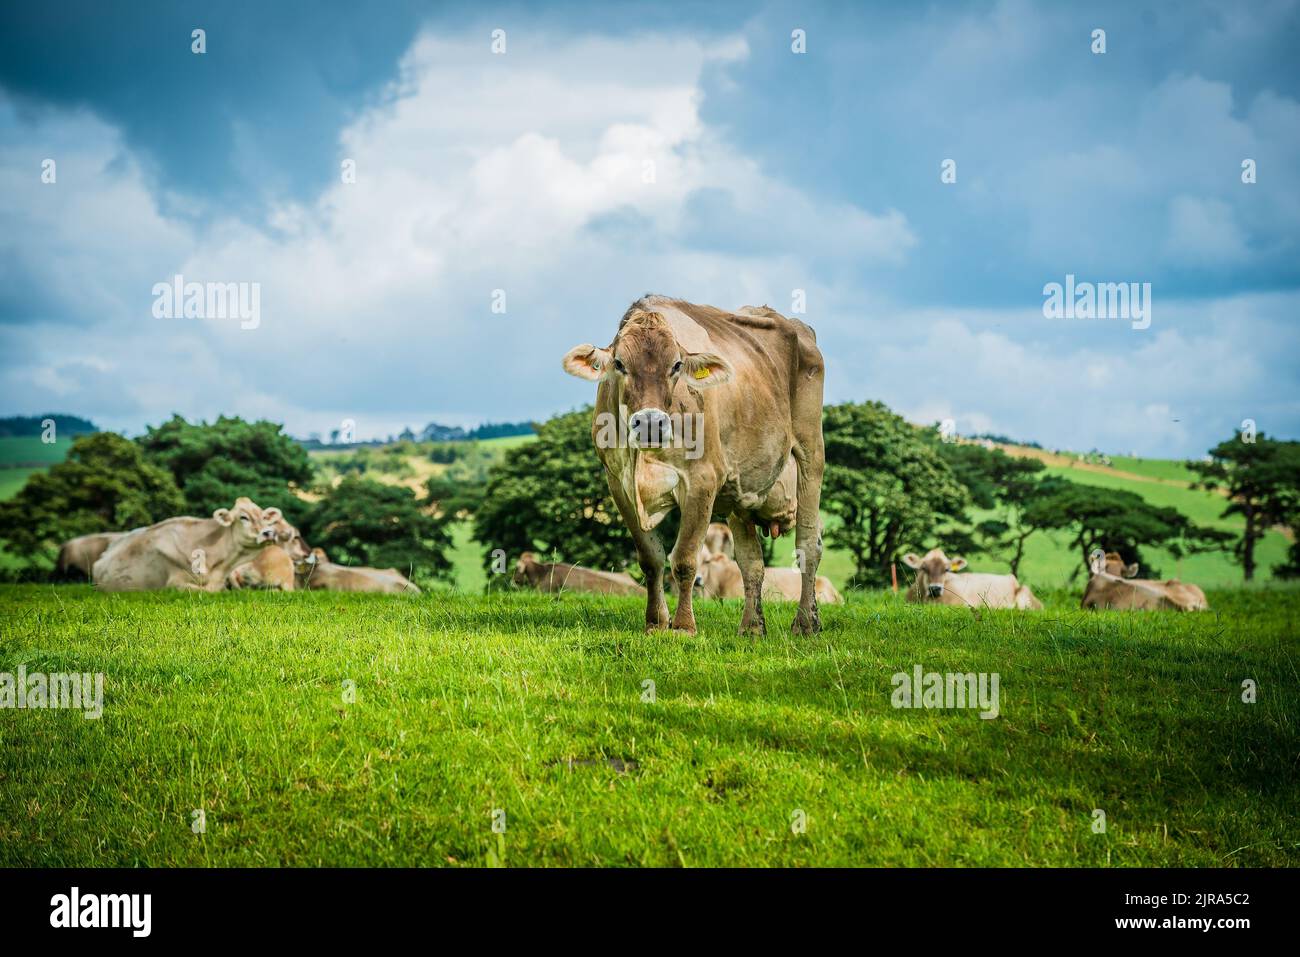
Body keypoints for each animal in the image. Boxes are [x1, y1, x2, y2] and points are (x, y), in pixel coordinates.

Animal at [562, 295, 825, 635]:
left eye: (676, 365)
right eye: (619, 363)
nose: (651, 423)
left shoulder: (702, 481)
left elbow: (685, 559)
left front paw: (684, 626)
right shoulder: (618, 484)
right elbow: (651, 559)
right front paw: (656, 622)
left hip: (811, 455)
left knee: (808, 546)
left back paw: (806, 623)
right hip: (742, 488)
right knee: (751, 562)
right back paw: (751, 628)